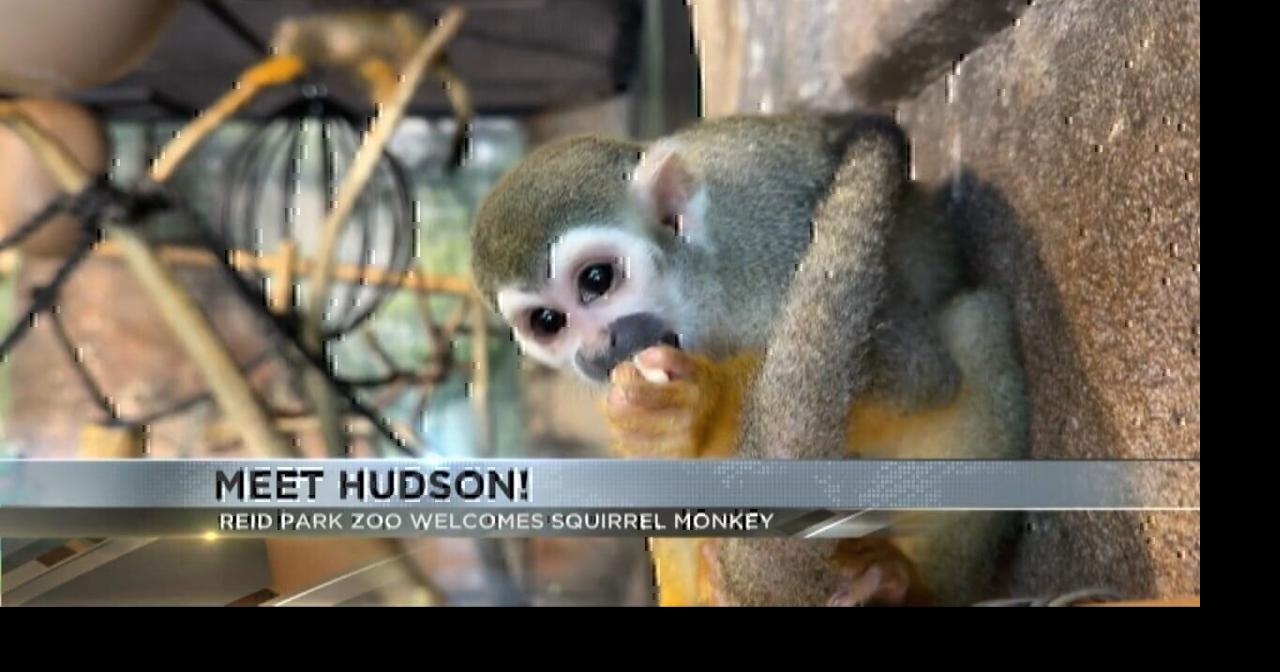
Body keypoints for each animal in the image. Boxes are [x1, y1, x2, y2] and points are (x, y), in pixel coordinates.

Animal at [469, 114, 1030, 606]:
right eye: (548, 321)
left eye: (597, 279)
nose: (599, 350)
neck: (702, 285)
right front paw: (654, 426)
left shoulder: (777, 249)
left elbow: (917, 377)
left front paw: (704, 401)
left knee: (975, 324)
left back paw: (909, 585)